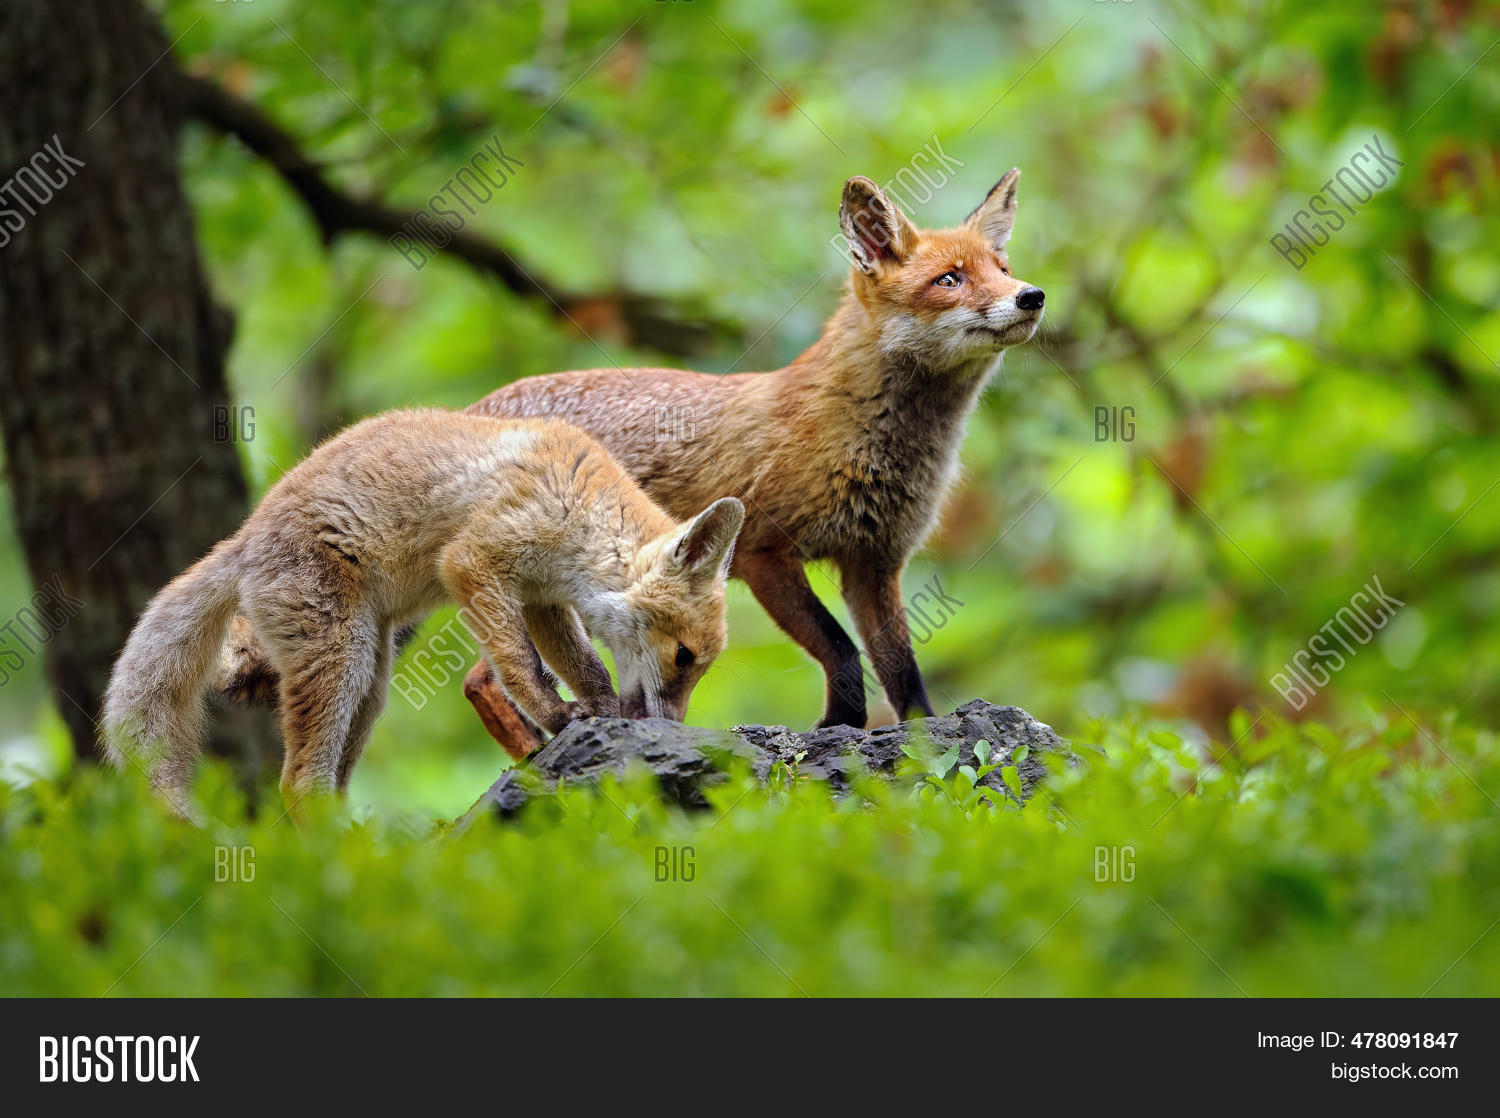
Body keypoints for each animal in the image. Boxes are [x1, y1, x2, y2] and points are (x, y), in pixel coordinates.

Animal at [103, 409, 744, 814]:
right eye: (684, 657)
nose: (673, 727)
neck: (576, 507)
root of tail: (243, 541)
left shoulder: (541, 599)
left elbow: (584, 667)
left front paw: (599, 711)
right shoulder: (474, 563)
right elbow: (521, 666)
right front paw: (558, 717)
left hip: (369, 681)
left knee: (326, 782)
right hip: (339, 659)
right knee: (297, 783)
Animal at [220, 169, 1043, 742]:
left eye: (1000, 270)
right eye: (949, 280)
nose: (1032, 296)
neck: (867, 438)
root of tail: (483, 408)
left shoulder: (875, 561)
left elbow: (901, 667)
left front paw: (922, 734)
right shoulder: (765, 552)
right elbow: (842, 652)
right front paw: (838, 728)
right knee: (484, 682)